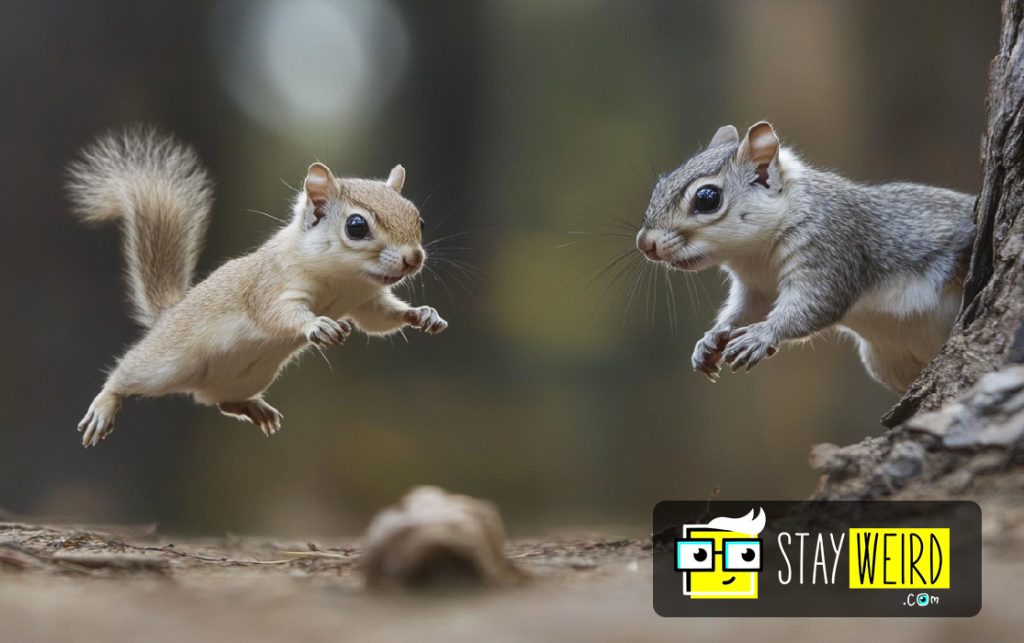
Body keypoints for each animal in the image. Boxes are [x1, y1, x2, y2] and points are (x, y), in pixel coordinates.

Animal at [69, 128, 447, 447]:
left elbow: (379, 321)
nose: (414, 259)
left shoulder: (365, 301)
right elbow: (275, 314)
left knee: (219, 401)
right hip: (162, 363)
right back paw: (104, 405)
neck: (344, 280)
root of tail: (169, 315)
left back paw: (254, 408)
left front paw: (423, 315)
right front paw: (317, 325)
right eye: (356, 226)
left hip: (249, 378)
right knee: (126, 373)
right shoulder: (271, 286)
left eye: (420, 220)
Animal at [637, 121, 975, 394]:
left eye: (707, 198)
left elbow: (815, 303)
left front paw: (762, 335)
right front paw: (711, 338)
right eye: (660, 183)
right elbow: (746, 311)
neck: (756, 254)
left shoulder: (831, 245)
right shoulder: (757, 288)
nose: (645, 244)